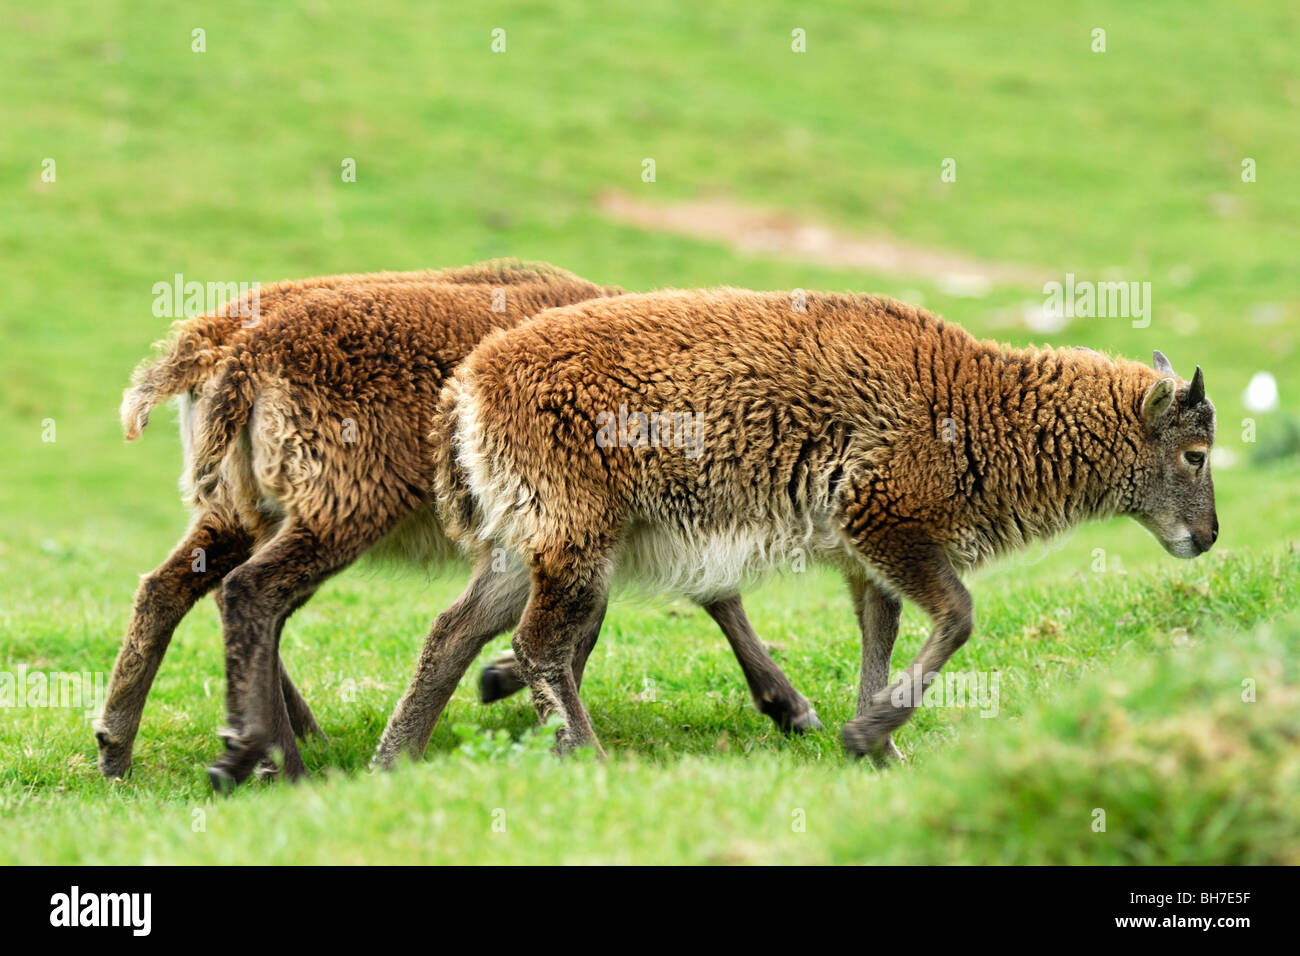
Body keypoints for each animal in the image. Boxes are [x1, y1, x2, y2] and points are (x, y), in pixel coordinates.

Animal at [99, 262, 818, 789]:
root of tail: (232, 349)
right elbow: (689, 600)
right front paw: (790, 706)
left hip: (244, 505)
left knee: (177, 590)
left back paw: (124, 749)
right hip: (341, 502)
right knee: (252, 593)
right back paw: (282, 763)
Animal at [404, 288, 1218, 758]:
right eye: (1196, 453)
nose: (1207, 538)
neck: (971, 402)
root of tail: (470, 385)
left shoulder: (870, 557)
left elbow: (880, 637)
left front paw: (878, 748)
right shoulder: (887, 522)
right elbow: (958, 615)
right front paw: (869, 734)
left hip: (525, 550)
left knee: (452, 634)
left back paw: (397, 759)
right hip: (576, 547)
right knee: (536, 644)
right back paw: (585, 755)